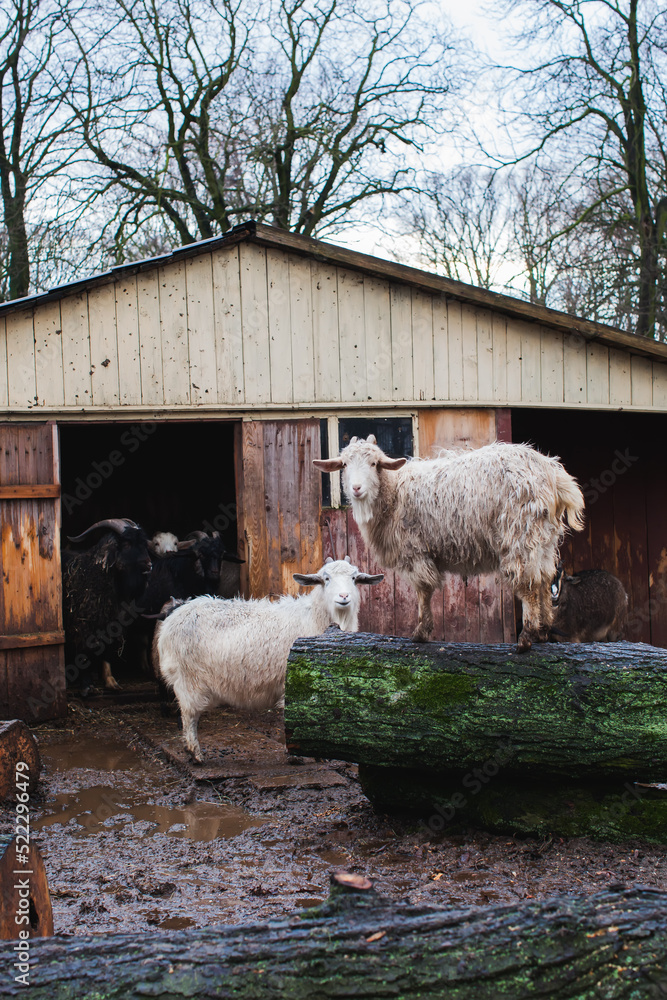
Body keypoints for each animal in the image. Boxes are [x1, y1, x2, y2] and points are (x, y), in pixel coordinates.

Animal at [157, 557, 383, 762]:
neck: (314, 617)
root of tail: (175, 615)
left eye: (354, 578)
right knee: (189, 715)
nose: (344, 596)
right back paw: (194, 752)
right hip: (188, 678)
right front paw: (297, 755)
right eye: (326, 579)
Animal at [313, 435, 585, 652]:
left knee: (528, 582)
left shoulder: (415, 549)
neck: (393, 493)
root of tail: (552, 473)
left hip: (519, 531)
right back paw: (543, 630)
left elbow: (423, 590)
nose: (356, 488)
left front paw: (421, 632)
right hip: (544, 538)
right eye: (344, 465)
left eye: (374, 464)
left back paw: (526, 637)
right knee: (545, 578)